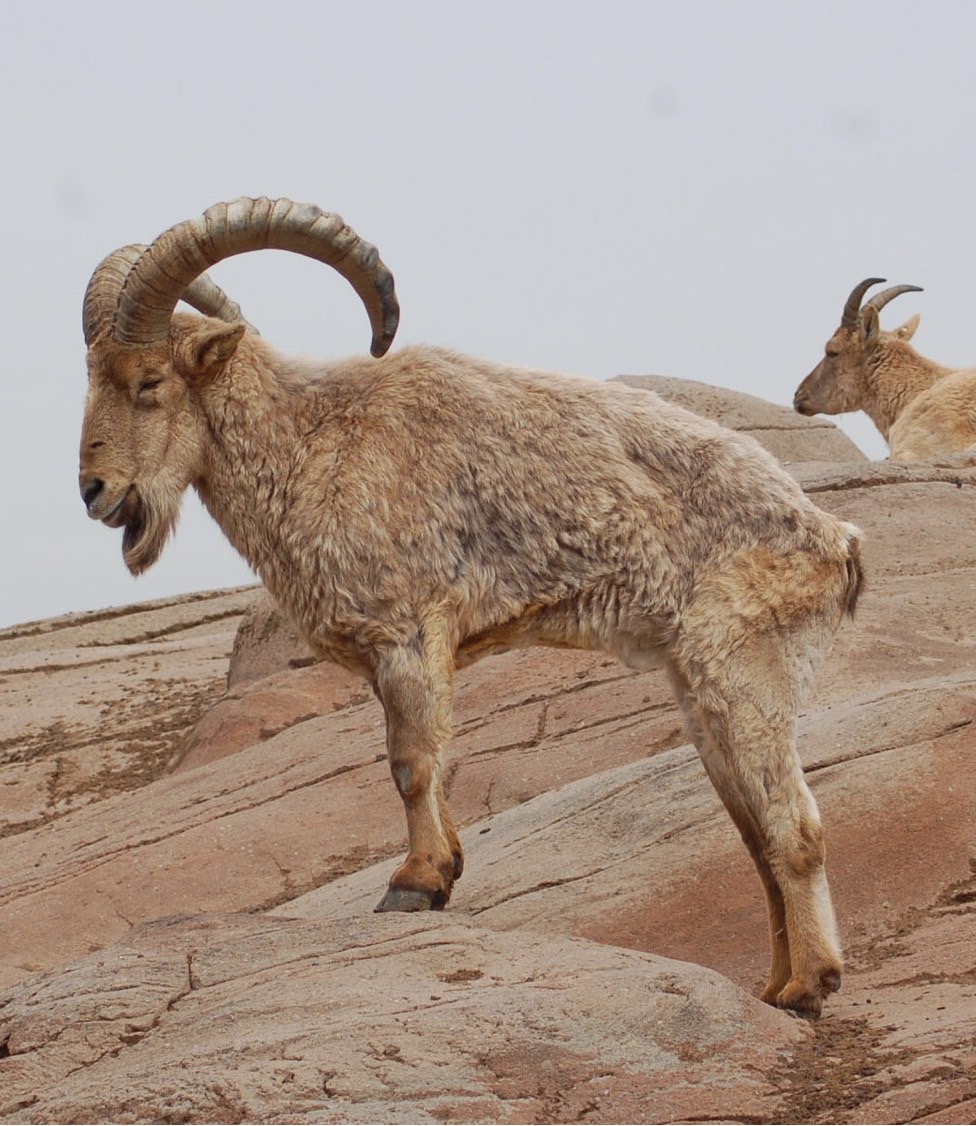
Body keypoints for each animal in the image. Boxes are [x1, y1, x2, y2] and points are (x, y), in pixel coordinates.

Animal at [79, 197, 863, 1017]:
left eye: (150, 380)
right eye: (93, 375)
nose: (94, 490)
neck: (311, 443)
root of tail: (836, 544)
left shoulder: (408, 633)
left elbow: (411, 761)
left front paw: (415, 883)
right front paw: (445, 866)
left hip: (745, 673)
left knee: (795, 827)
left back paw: (811, 984)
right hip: (700, 691)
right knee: (753, 831)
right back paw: (776, 985)